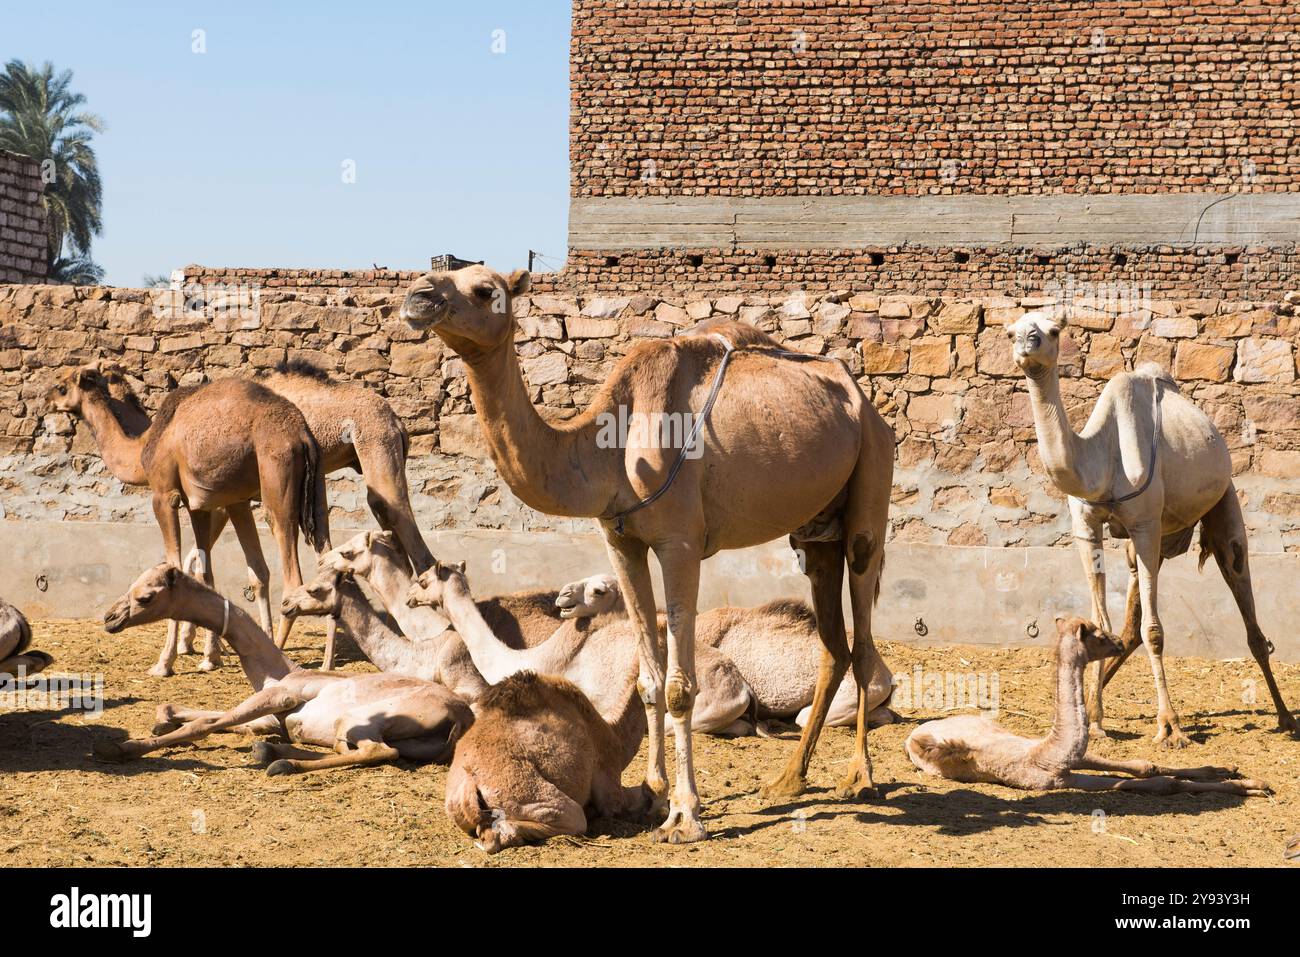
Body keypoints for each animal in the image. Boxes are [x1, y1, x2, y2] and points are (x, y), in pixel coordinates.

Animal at [46, 366, 332, 676]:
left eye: (61, 386)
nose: (46, 400)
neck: (145, 447)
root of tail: (302, 434)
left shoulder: (164, 495)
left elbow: (174, 565)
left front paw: (165, 662)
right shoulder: (213, 504)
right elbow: (224, 574)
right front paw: (211, 656)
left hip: (277, 479)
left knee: (293, 578)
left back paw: (279, 655)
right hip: (317, 492)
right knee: (328, 561)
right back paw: (323, 660)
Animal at [93, 564, 471, 774]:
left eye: (146, 596)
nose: (110, 618)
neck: (276, 669)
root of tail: (461, 717)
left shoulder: (281, 695)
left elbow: (204, 724)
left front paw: (120, 747)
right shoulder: (269, 715)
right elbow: (198, 713)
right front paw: (160, 722)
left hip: (359, 719)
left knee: (379, 751)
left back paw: (281, 763)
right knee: (349, 748)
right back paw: (273, 752)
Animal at [905, 616, 1270, 797]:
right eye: (1098, 635)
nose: (1120, 641)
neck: (1046, 754)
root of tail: (916, 732)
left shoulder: (1067, 758)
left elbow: (1145, 765)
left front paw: (1228, 769)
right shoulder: (1057, 782)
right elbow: (1160, 782)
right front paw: (1255, 786)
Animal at [1007, 312, 1295, 746]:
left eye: (1054, 331)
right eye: (1011, 331)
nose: (1027, 340)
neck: (1101, 458)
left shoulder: (1144, 524)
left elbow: (1154, 631)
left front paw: (1171, 726)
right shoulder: (1086, 527)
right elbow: (1101, 625)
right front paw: (1094, 721)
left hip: (1220, 502)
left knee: (1244, 595)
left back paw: (1286, 717)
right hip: (1151, 542)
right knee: (1128, 625)